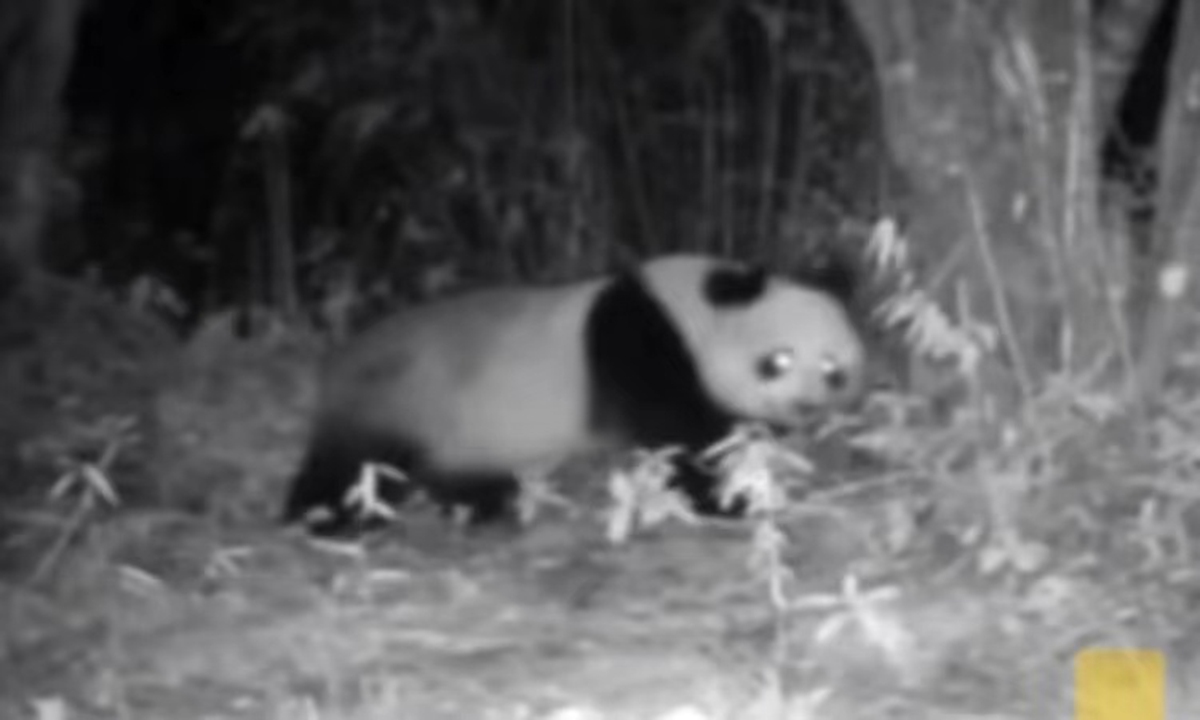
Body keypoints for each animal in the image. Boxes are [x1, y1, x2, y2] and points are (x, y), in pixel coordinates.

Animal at [282, 253, 866, 536]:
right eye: (778, 360)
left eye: (834, 369)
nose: (807, 407)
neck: (692, 316)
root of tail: (334, 367)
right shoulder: (649, 355)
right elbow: (680, 443)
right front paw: (734, 501)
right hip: (399, 398)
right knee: (354, 467)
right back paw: (322, 519)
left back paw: (484, 507)